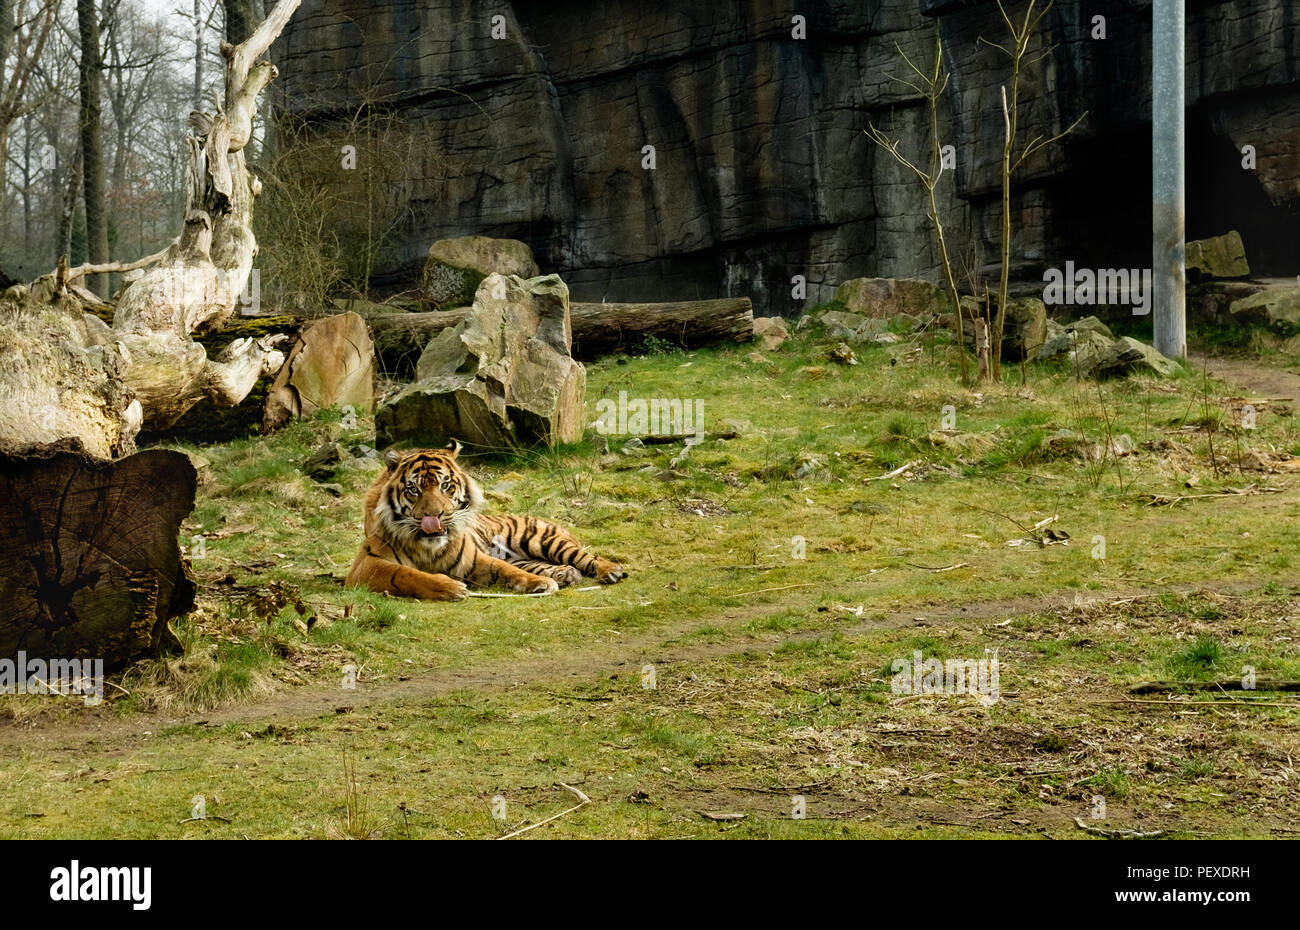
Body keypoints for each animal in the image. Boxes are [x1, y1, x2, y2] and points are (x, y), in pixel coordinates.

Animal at [345, 442, 626, 601]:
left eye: (445, 485)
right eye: (414, 489)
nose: (433, 518)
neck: (426, 546)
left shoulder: (472, 558)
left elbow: (505, 569)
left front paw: (540, 584)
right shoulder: (366, 565)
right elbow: (407, 574)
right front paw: (451, 588)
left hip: (541, 540)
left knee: (584, 556)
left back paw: (610, 570)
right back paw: (566, 574)